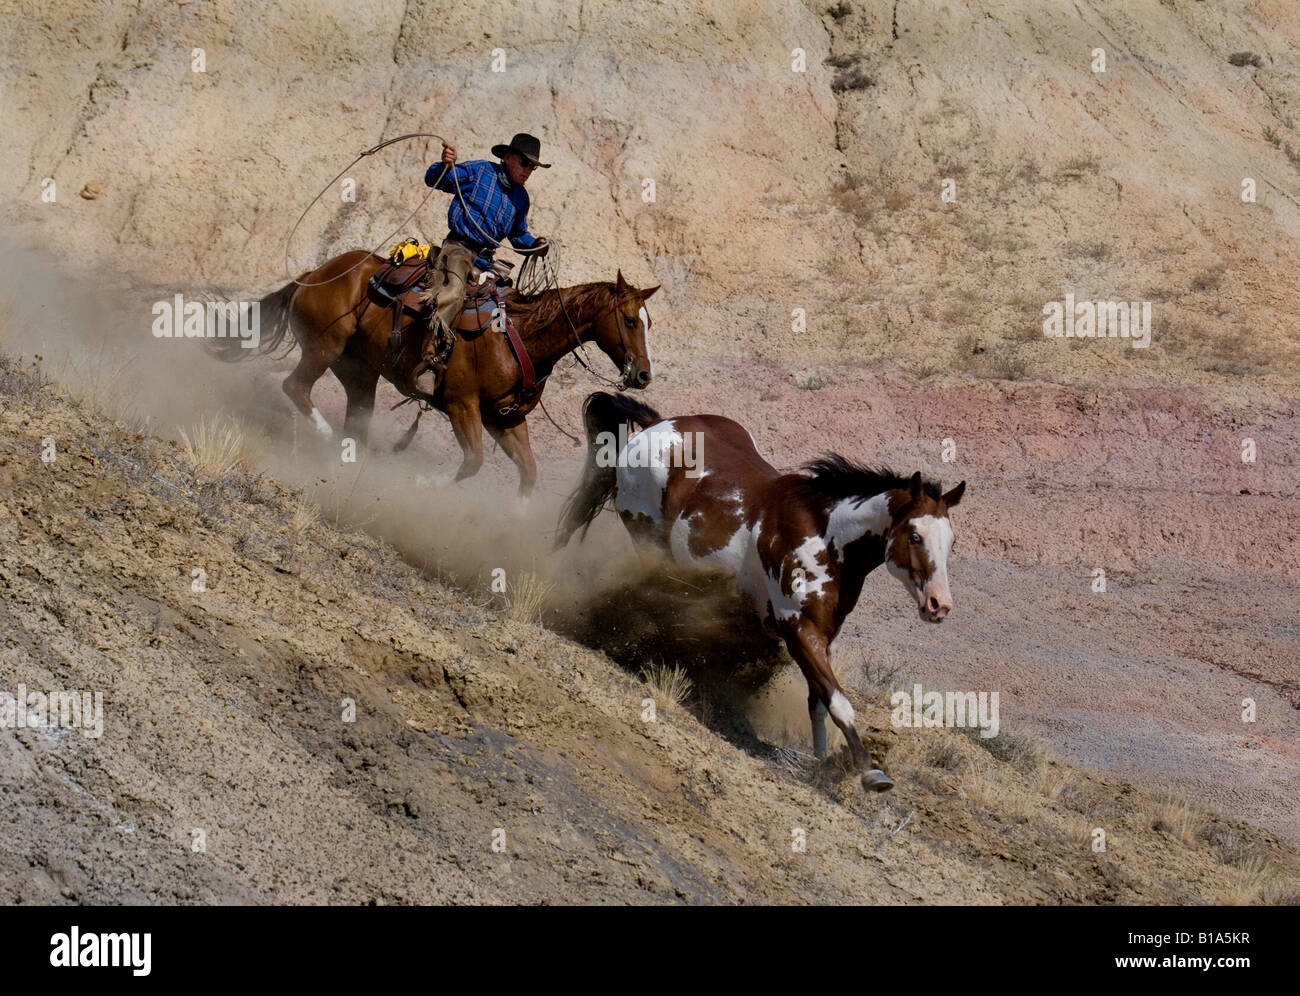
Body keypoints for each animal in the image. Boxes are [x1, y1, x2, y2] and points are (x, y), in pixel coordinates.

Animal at [234, 249, 658, 496]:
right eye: (630, 320)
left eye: (648, 322)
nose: (642, 376)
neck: (519, 337)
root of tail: (313, 273)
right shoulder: (461, 405)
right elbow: (473, 461)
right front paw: (423, 482)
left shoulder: (503, 419)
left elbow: (529, 472)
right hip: (325, 346)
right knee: (295, 387)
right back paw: (323, 436)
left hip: (359, 372)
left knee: (354, 421)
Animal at [556, 392, 967, 792]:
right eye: (915, 535)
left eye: (950, 540)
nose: (939, 605)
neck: (826, 535)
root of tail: (658, 423)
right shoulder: (797, 628)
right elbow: (838, 700)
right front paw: (869, 771)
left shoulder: (825, 635)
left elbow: (819, 702)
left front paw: (821, 764)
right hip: (647, 539)